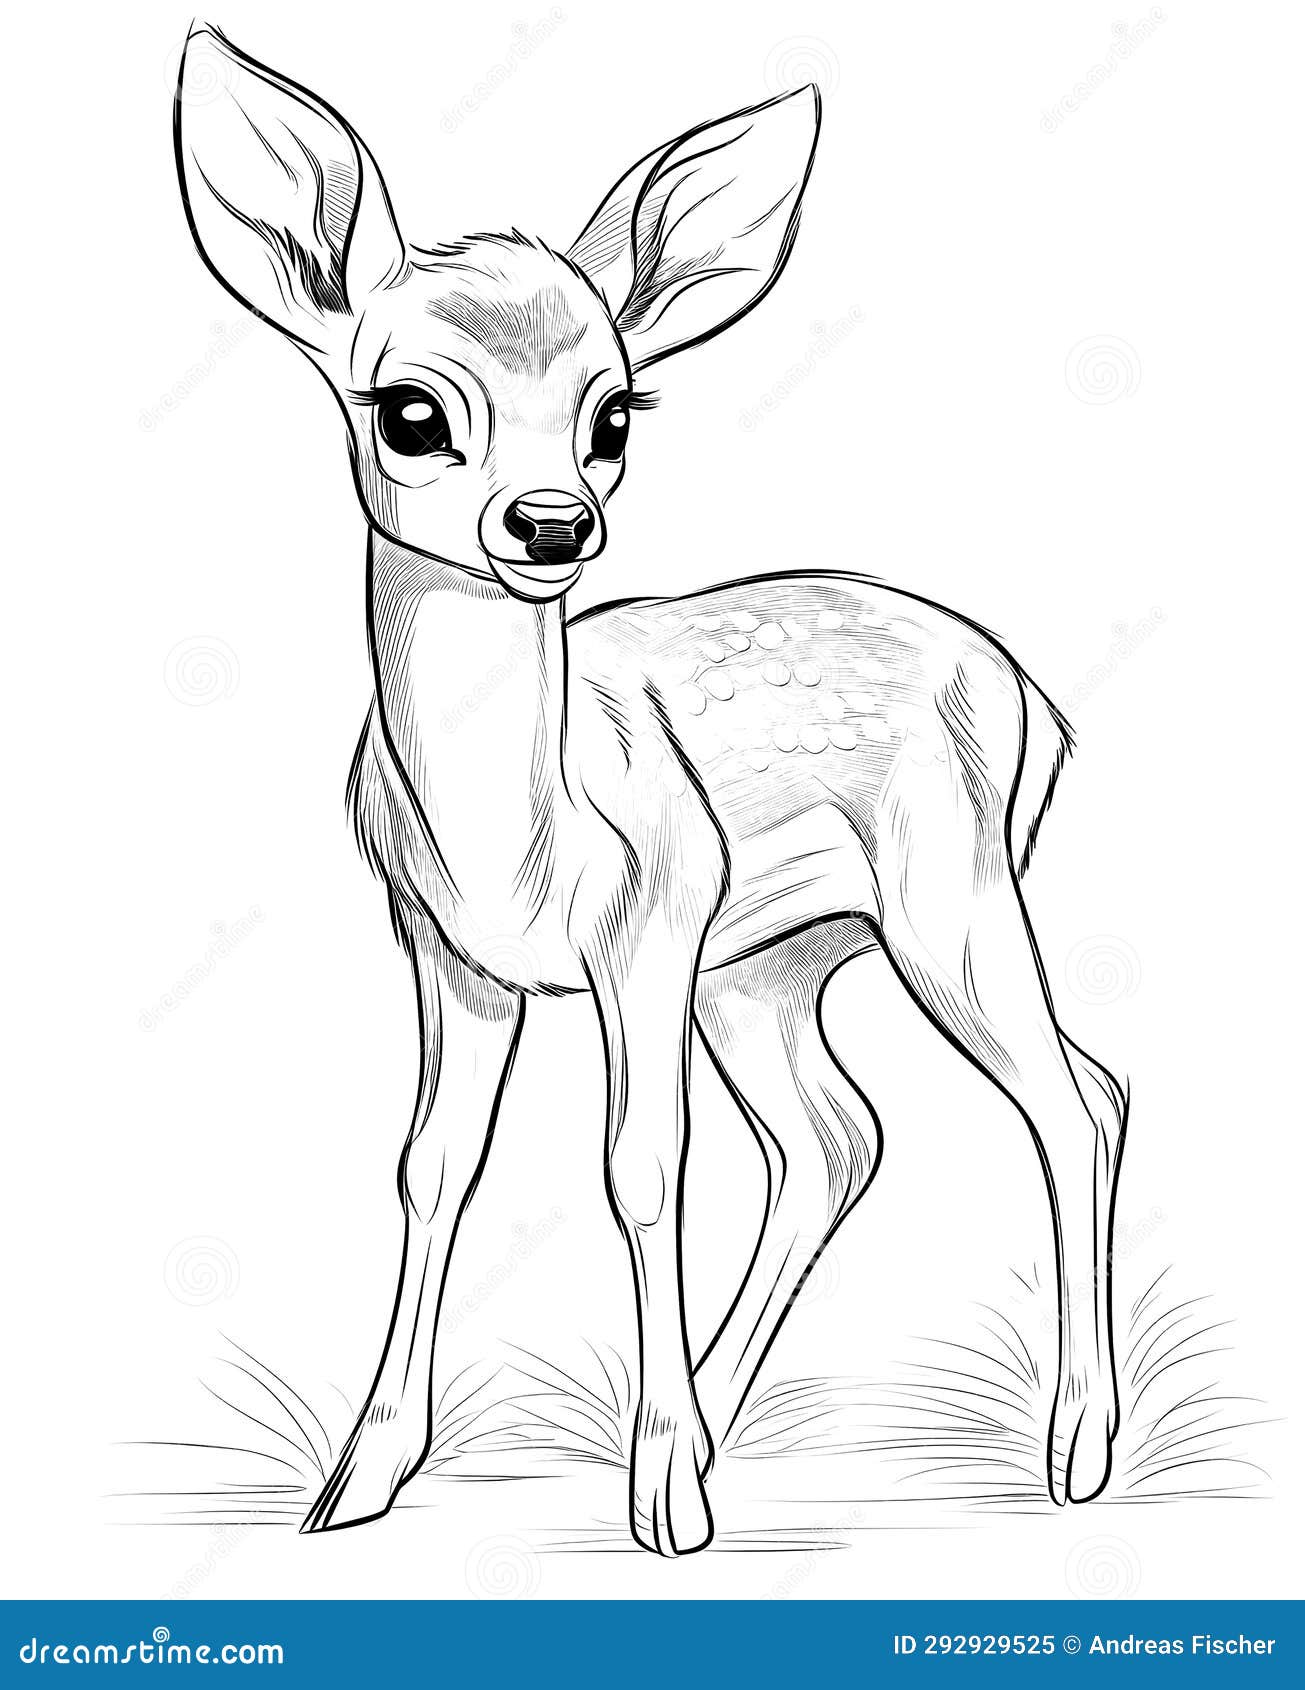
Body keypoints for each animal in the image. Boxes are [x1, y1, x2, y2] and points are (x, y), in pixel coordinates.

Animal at [174, 25, 1128, 1556]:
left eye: (612, 411)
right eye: (409, 410)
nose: (552, 523)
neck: (512, 843)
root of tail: (1037, 705)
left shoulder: (652, 921)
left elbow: (642, 1164)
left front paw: (661, 1500)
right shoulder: (447, 950)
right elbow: (430, 1163)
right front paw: (358, 1481)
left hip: (948, 889)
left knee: (1075, 1097)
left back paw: (1074, 1449)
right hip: (774, 962)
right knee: (838, 1135)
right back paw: (726, 1423)